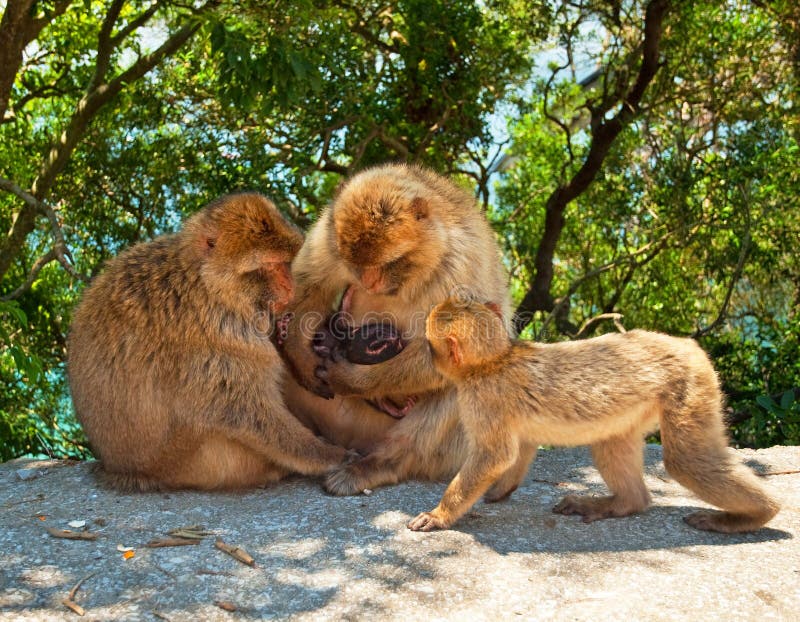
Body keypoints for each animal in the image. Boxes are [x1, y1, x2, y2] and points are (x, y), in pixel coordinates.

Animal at [67, 193, 349, 491]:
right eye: (270, 265)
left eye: (288, 263)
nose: (291, 286)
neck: (206, 281)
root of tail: (120, 469)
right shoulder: (221, 332)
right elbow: (246, 414)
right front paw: (327, 455)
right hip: (191, 462)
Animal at [278, 163, 513, 494]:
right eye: (356, 264)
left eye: (389, 262)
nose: (368, 281)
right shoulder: (327, 237)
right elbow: (308, 285)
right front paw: (301, 356)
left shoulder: (460, 267)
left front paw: (349, 379)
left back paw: (379, 465)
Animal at [407, 297, 781, 533]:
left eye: (430, 345)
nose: (425, 355)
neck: (495, 360)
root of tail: (687, 345)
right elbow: (521, 446)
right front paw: (500, 491)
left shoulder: (481, 399)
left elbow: (493, 455)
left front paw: (441, 515)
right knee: (611, 442)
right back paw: (625, 503)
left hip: (689, 385)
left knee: (686, 461)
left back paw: (760, 513)